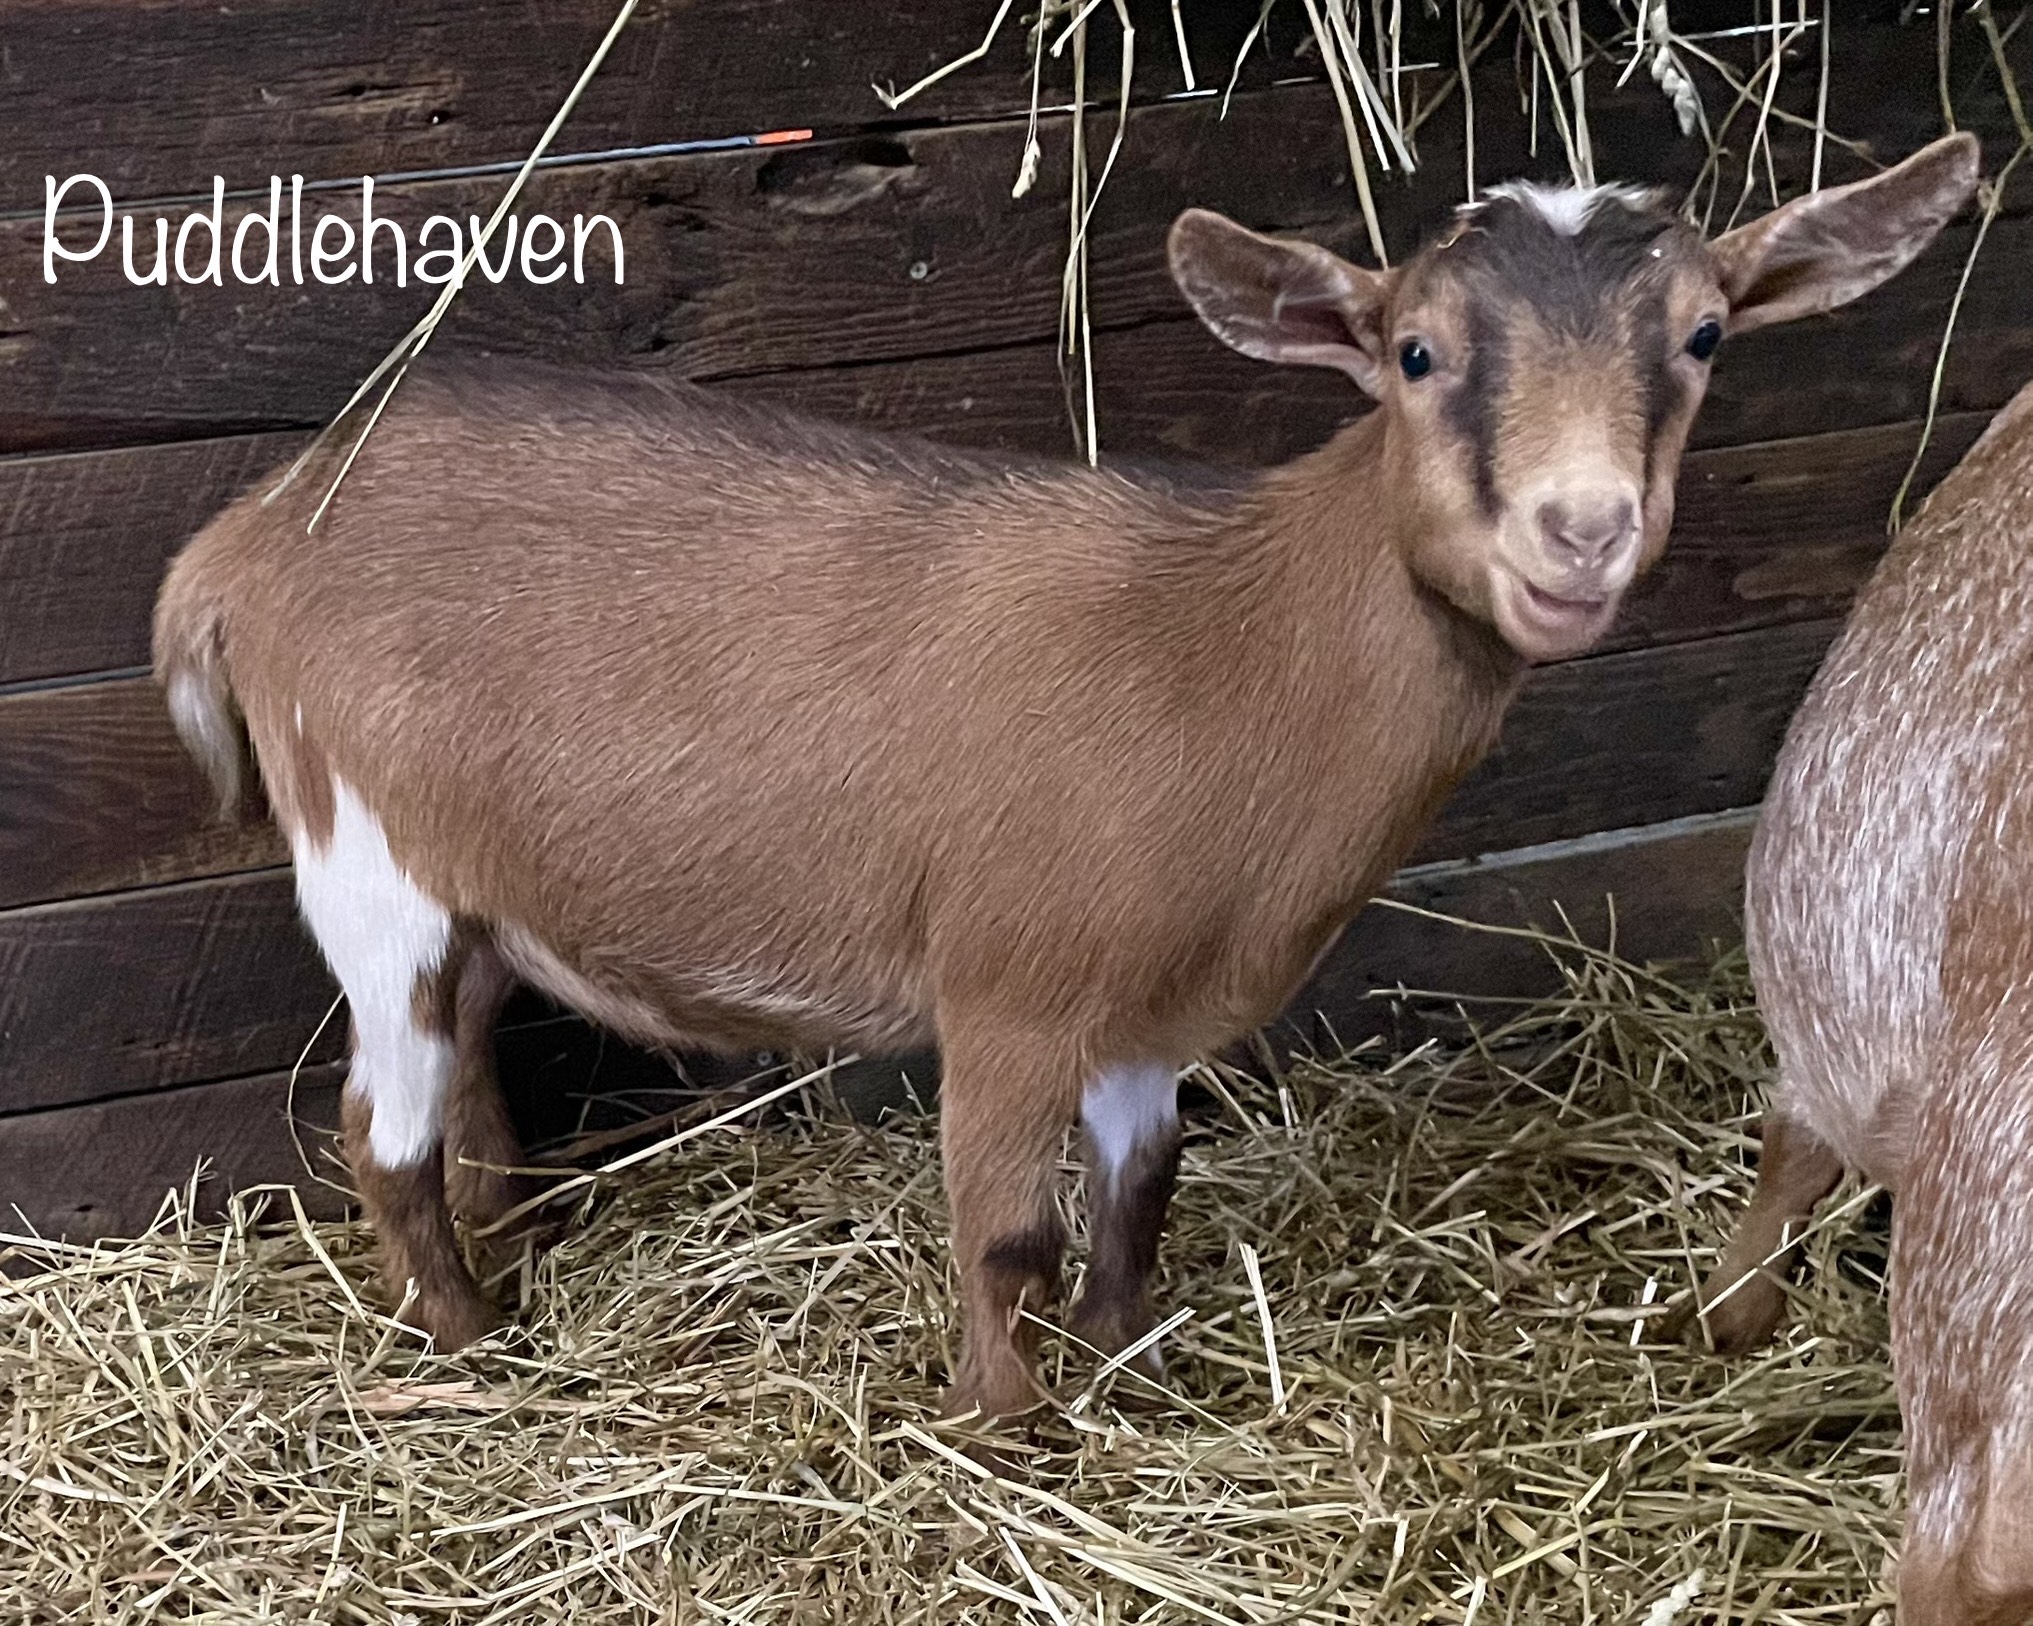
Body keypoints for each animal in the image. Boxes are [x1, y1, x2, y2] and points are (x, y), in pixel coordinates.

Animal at [155, 135, 1976, 1423]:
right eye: (1411, 353)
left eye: (1702, 334)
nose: (1579, 532)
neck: (1227, 641)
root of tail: (246, 535)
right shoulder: (1008, 982)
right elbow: (1000, 1230)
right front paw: (1003, 1423)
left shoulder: (1149, 992)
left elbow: (1139, 1184)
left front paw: (1122, 1351)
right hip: (363, 857)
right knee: (375, 1122)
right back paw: (467, 1332)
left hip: (457, 871)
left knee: (464, 1052)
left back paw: (517, 1247)